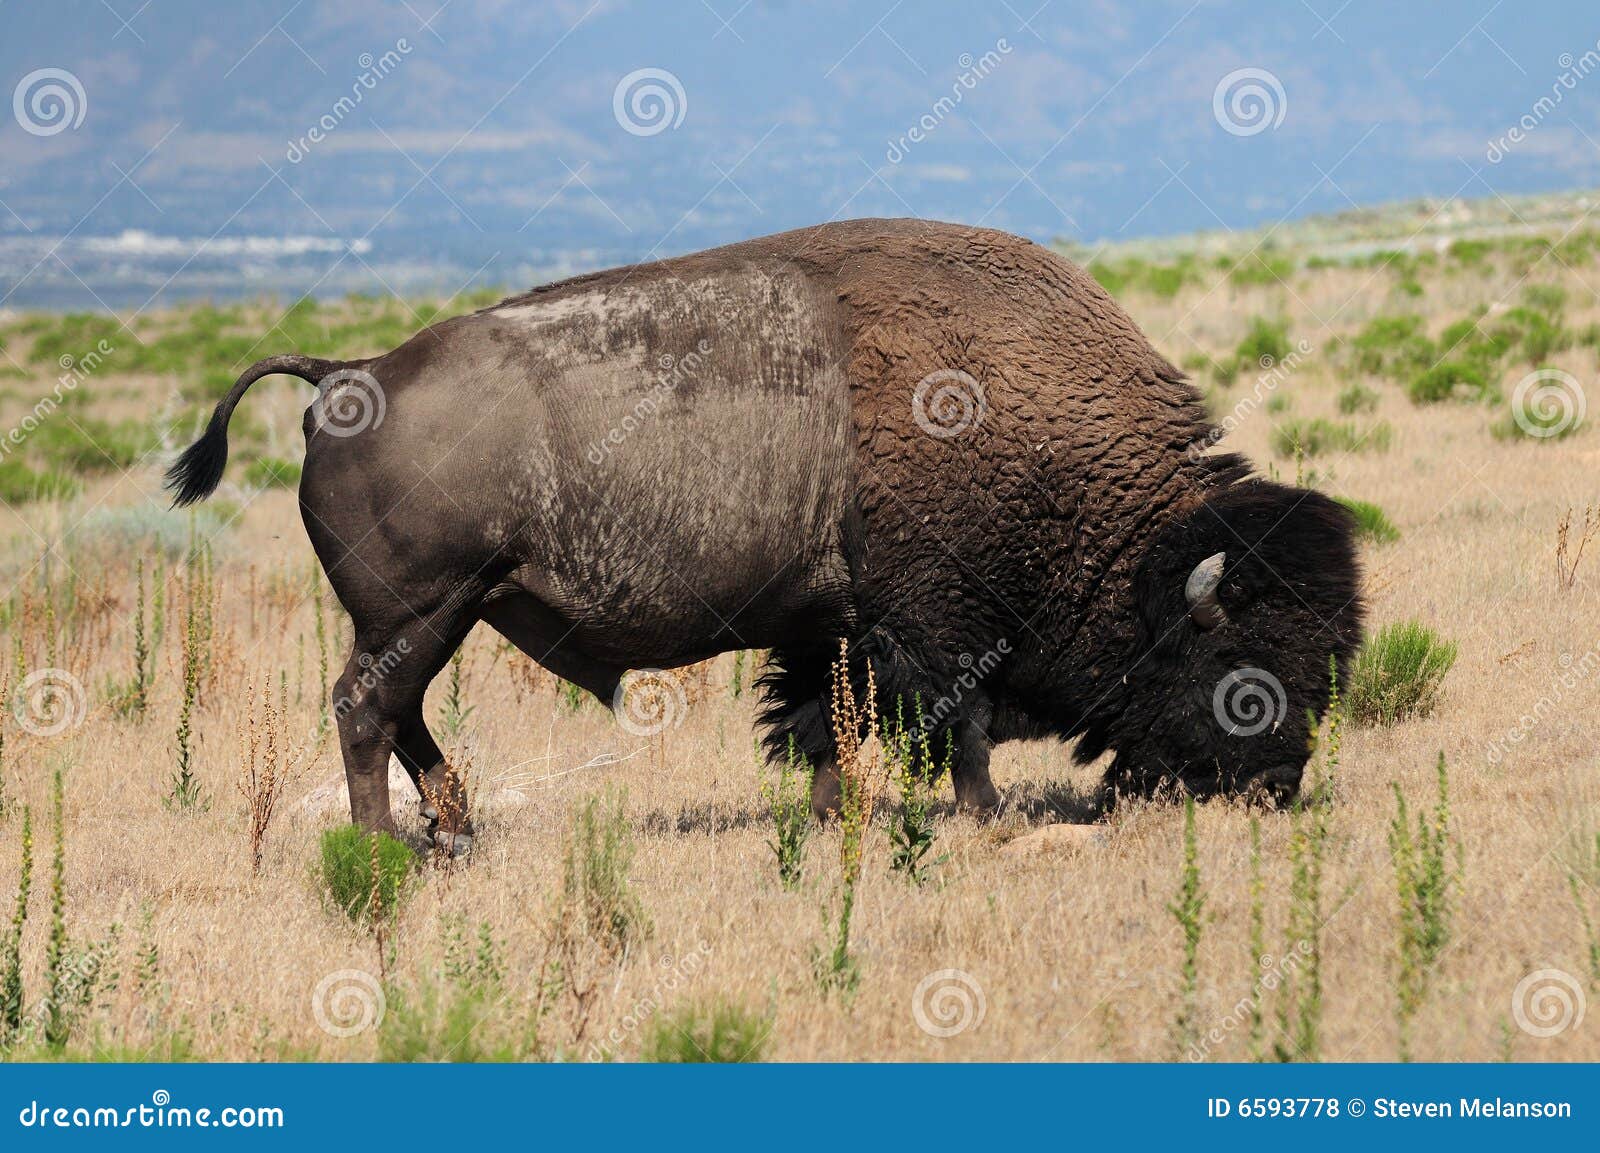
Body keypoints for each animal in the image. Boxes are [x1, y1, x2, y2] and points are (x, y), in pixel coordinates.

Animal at [168, 219, 1363, 853]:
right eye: (1239, 665)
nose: (1279, 783)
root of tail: (348, 374)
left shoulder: (830, 625)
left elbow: (821, 721)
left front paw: (833, 819)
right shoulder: (933, 623)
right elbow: (959, 725)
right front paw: (982, 819)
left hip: (444, 614)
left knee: (400, 714)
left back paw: (454, 827)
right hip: (419, 611)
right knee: (366, 711)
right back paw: (386, 847)